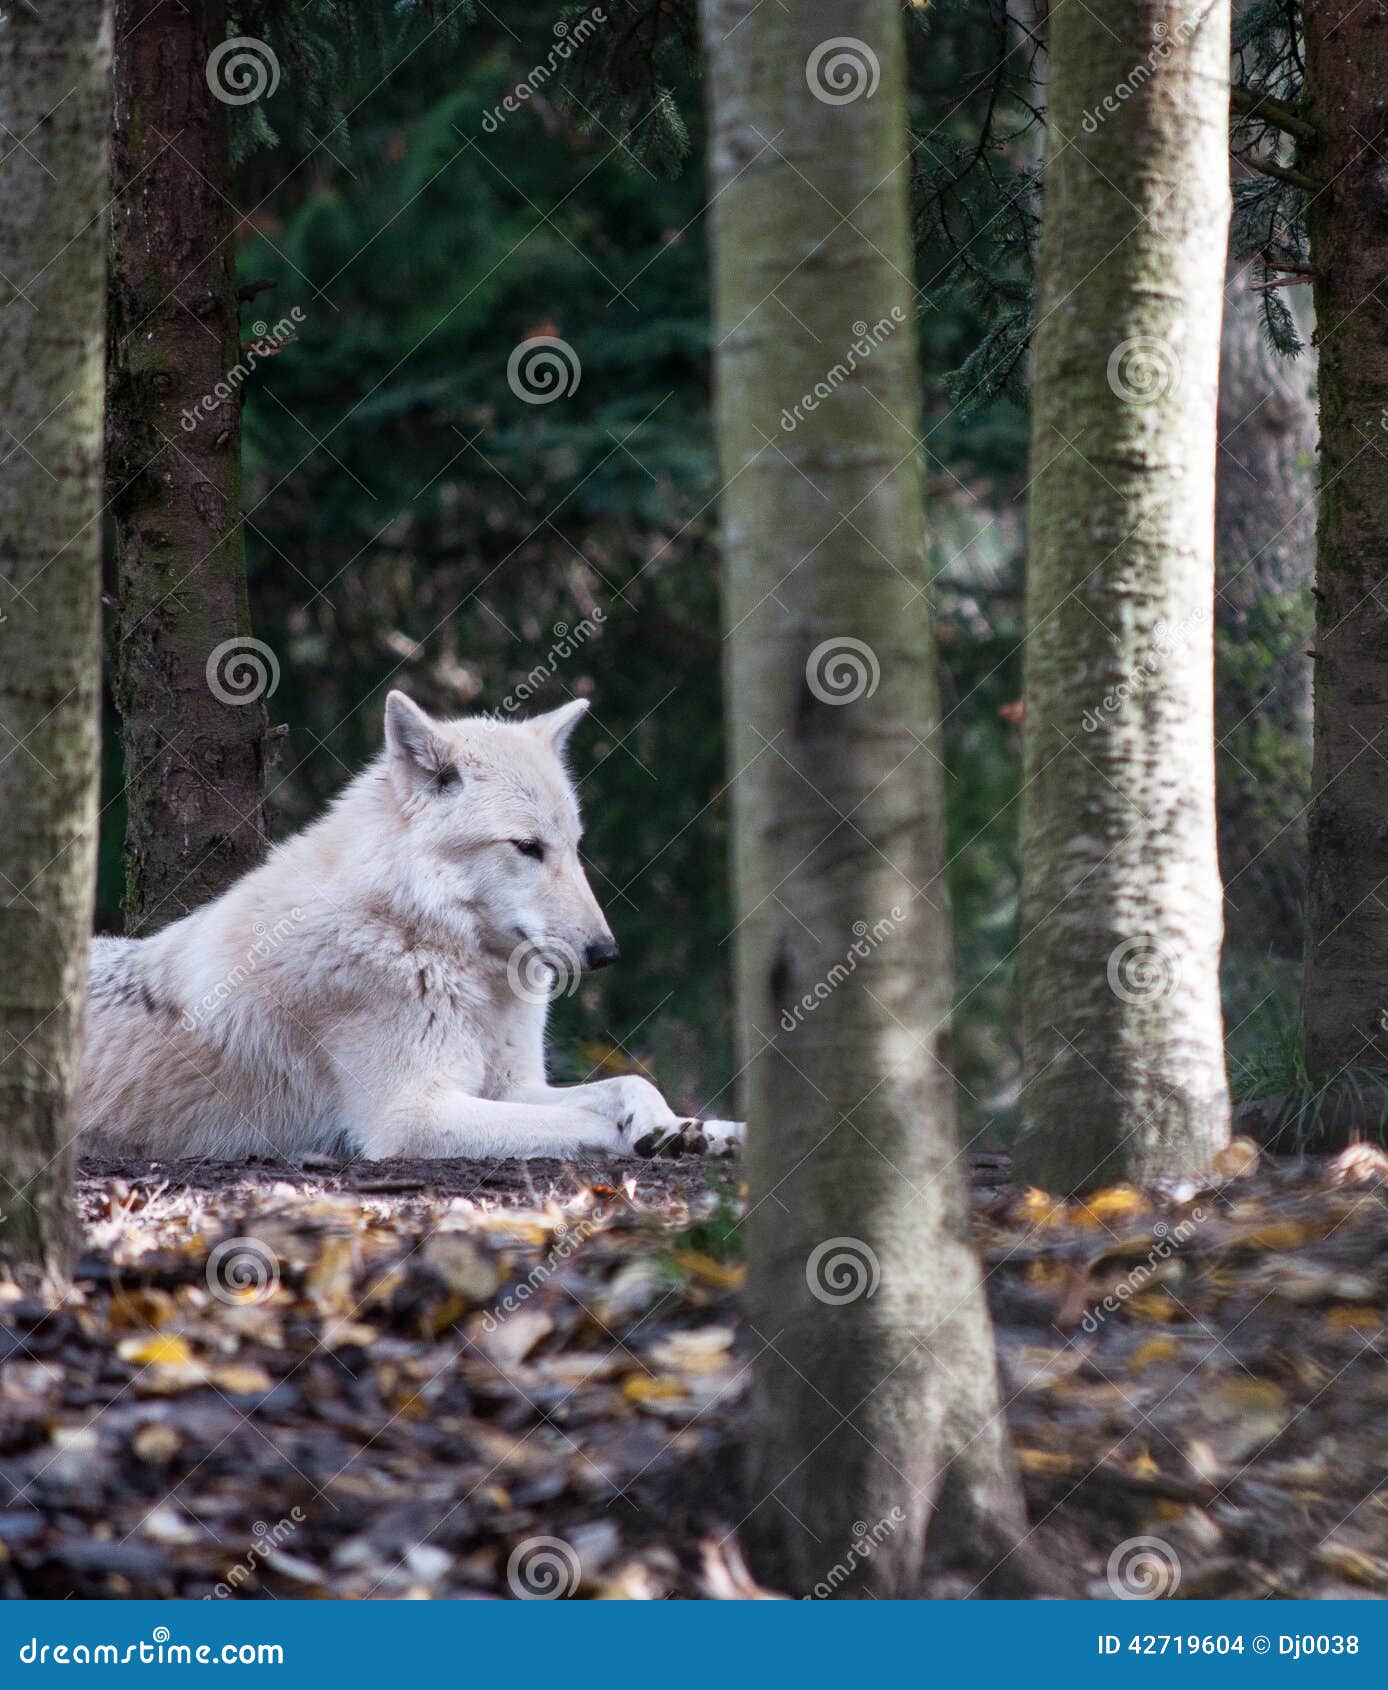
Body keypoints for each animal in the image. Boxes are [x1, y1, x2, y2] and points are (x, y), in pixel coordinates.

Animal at [80, 693, 744, 1163]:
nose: (606, 952)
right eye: (528, 847)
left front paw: (689, 1128)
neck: (426, 942)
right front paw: (647, 1136)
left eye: (574, 847)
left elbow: (629, 1082)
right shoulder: (411, 1115)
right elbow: (587, 1119)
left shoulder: (513, 1087)